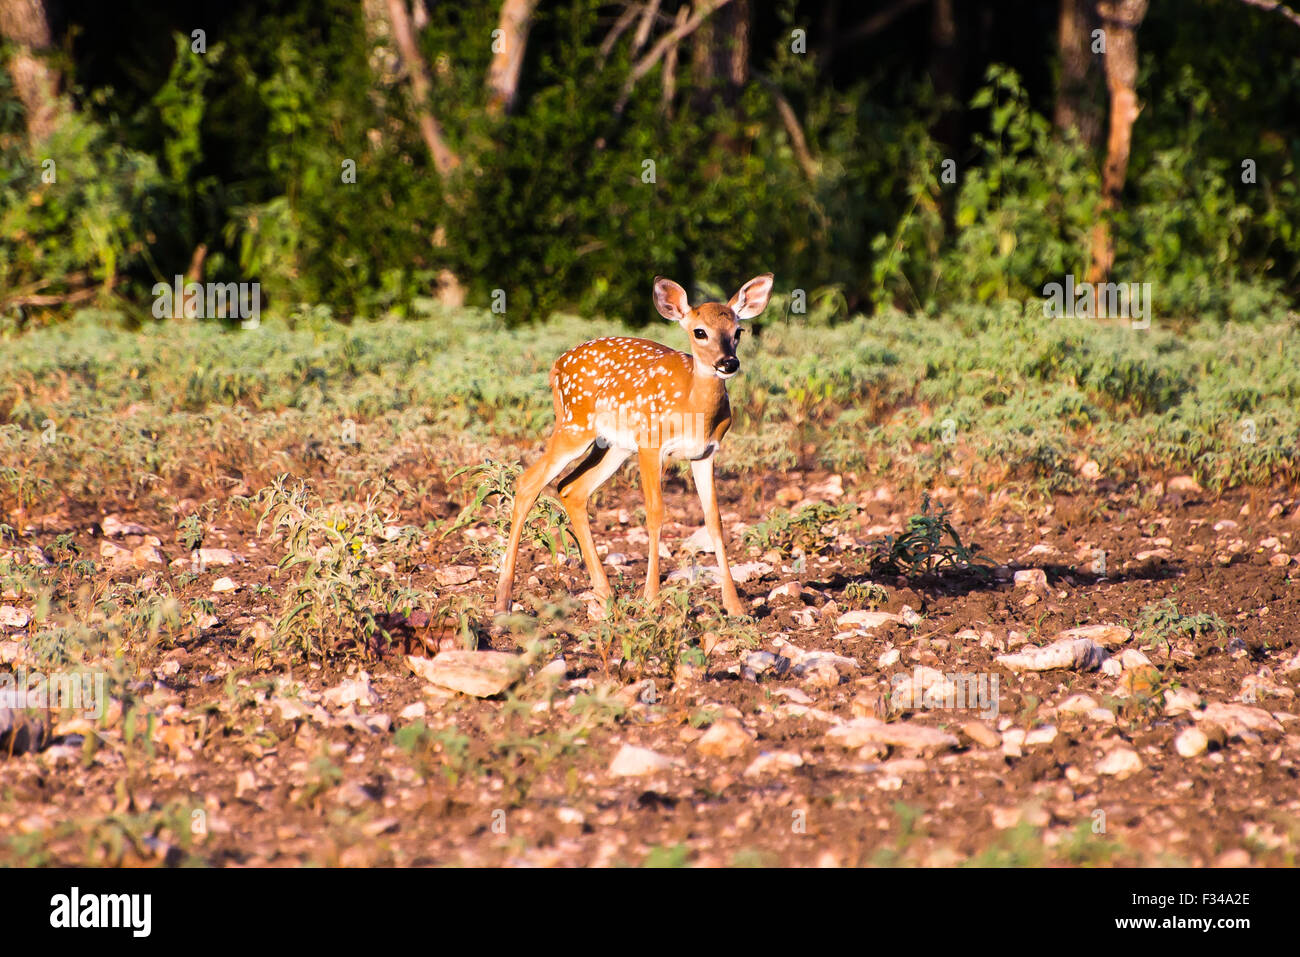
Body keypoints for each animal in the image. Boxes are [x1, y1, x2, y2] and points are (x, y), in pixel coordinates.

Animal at [494, 273, 774, 618]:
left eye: (738, 331)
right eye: (700, 332)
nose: (728, 363)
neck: (693, 406)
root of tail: (555, 365)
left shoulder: (705, 453)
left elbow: (715, 520)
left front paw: (735, 606)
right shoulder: (651, 443)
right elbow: (655, 512)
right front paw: (652, 599)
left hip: (612, 445)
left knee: (571, 489)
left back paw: (605, 594)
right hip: (574, 425)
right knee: (528, 482)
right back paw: (503, 599)